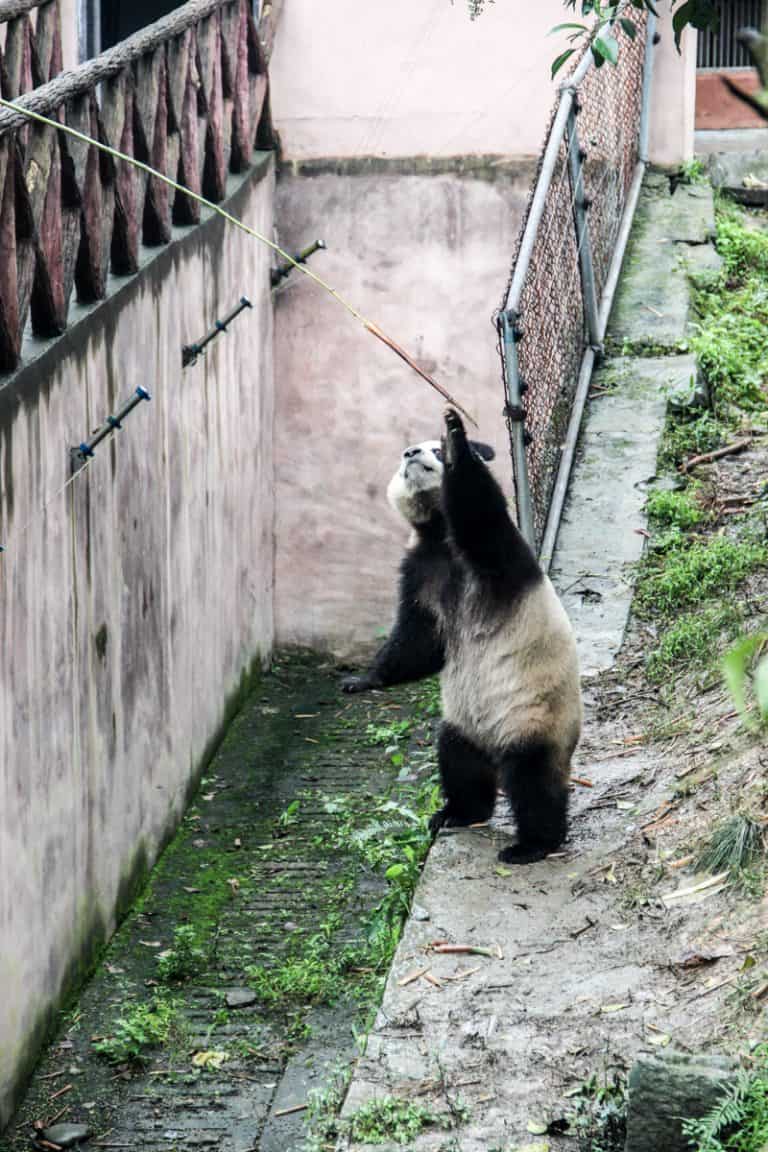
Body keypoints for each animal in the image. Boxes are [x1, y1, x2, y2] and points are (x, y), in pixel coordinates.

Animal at [342, 408, 582, 864]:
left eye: (431, 451)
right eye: (404, 456)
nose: (411, 453)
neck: (440, 532)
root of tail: (493, 747)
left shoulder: (496, 556)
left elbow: (479, 508)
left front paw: (456, 439)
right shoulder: (422, 571)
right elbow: (419, 642)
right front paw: (363, 680)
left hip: (533, 717)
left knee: (533, 780)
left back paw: (533, 844)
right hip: (464, 722)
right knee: (458, 761)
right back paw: (459, 812)